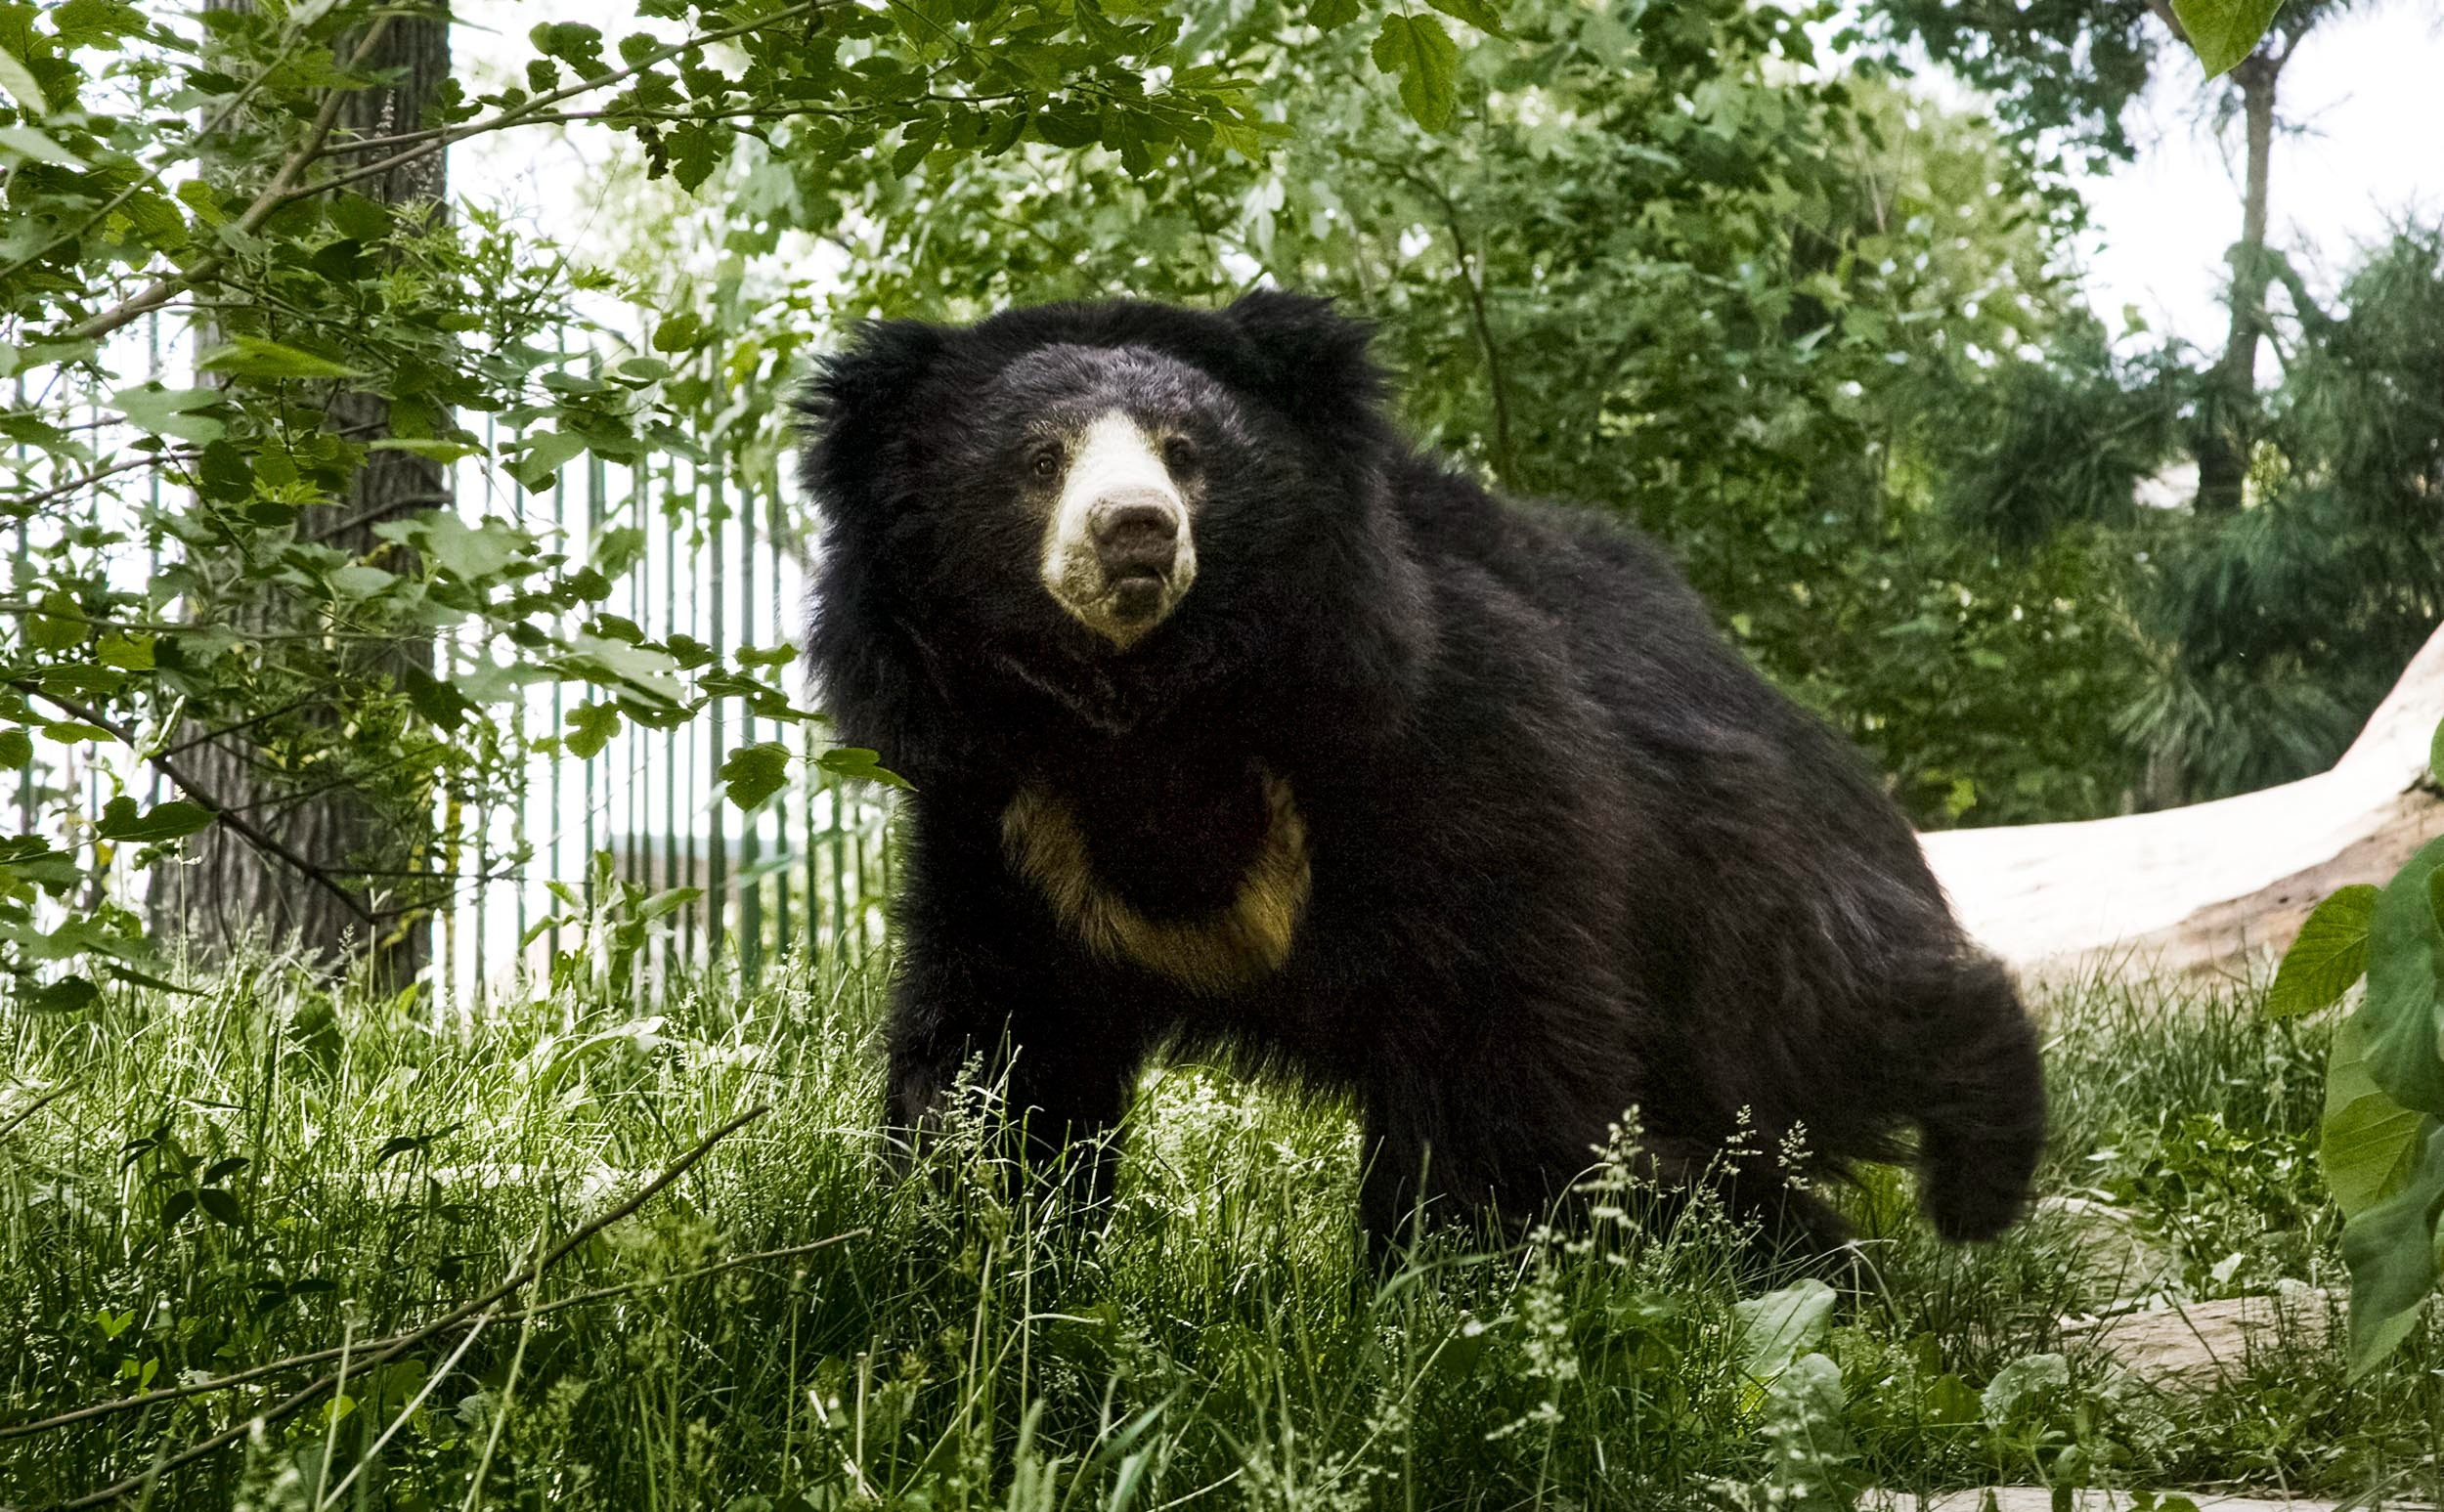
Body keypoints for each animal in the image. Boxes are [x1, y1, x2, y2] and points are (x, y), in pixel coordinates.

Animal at [798, 290, 2047, 1258]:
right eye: (1038, 461)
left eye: (1185, 453)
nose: (1135, 533)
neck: (1154, 718)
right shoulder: (1005, 812)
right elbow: (1003, 1050)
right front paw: (967, 1242)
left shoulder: (1455, 743)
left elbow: (1485, 1041)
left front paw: (1443, 1290)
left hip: (1727, 868)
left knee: (1816, 1014)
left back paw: (1973, 1176)